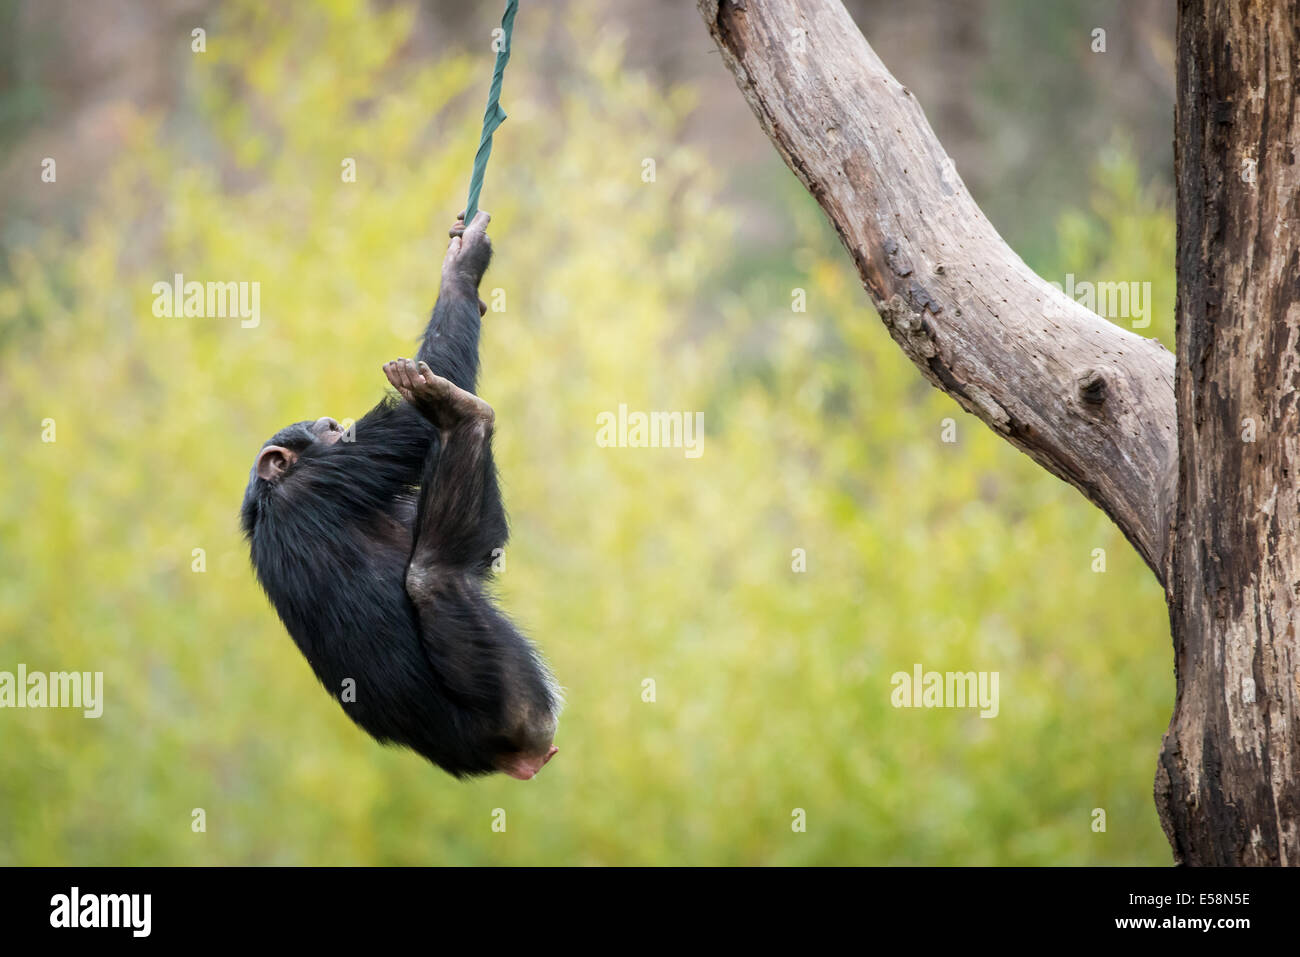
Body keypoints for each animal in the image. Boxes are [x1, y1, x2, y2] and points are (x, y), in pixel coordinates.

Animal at [240, 210, 560, 780]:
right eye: (330, 429)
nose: (338, 422)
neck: (270, 501)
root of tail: (507, 758)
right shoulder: (328, 474)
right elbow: (413, 426)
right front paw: (461, 270)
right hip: (518, 710)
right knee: (433, 575)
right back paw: (459, 415)